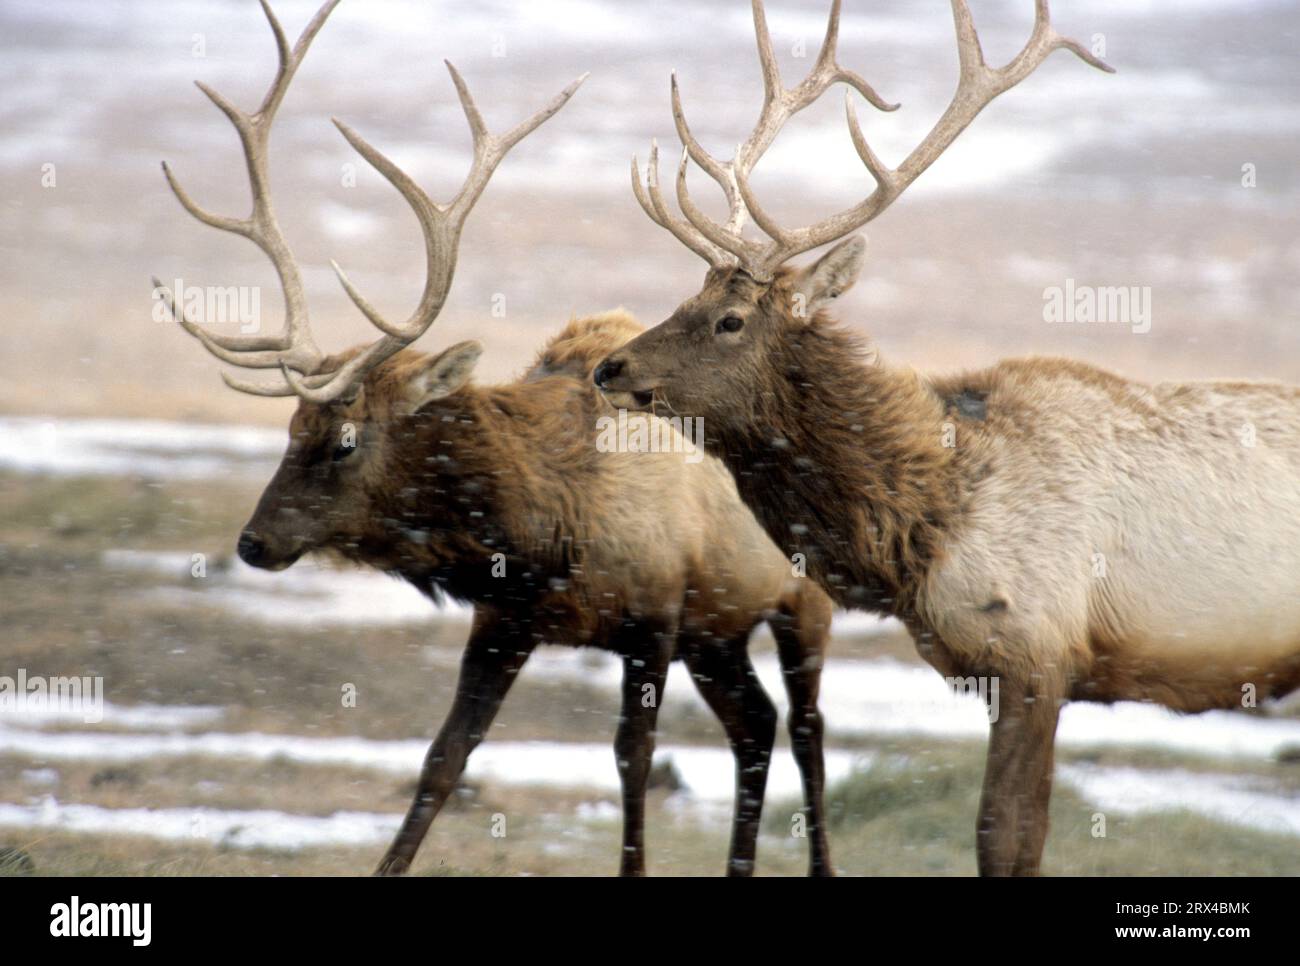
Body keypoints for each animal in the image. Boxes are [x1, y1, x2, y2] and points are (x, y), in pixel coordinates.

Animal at [154, 0, 837, 877]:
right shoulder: (505, 620)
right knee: (754, 726)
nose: (254, 542)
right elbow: (444, 757)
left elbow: (633, 758)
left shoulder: (653, 615)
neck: (548, 525)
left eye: (345, 441)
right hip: (718, 631)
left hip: (798, 602)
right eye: (291, 426)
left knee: (807, 732)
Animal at [595, 0, 1300, 875]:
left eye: (729, 320)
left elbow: (1007, 837)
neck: (928, 520)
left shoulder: (1037, 651)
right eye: (683, 298)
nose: (610, 367)